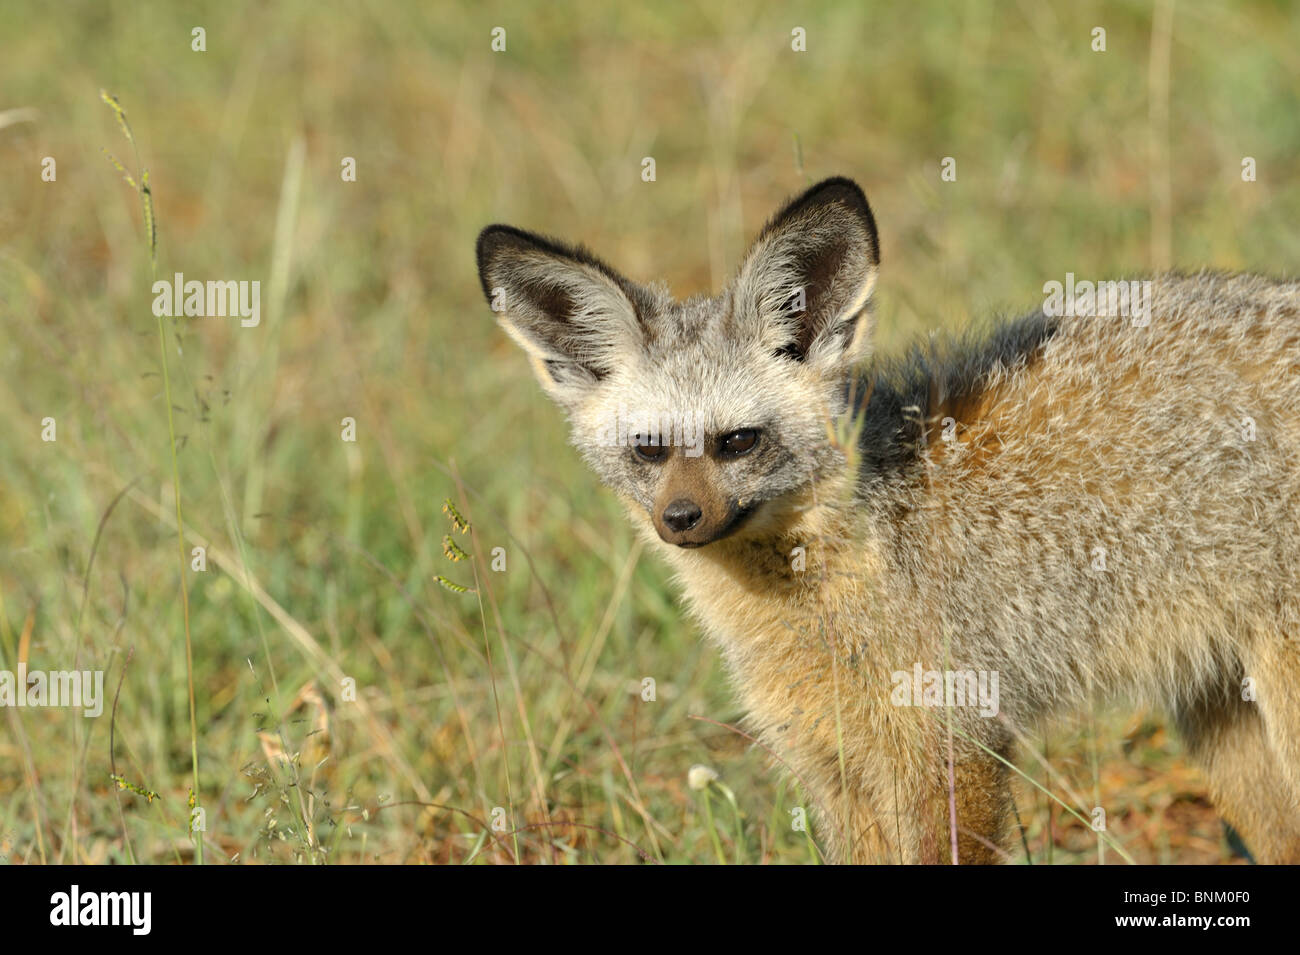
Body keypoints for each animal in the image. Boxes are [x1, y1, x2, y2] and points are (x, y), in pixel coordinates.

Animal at [475, 176, 1300, 864]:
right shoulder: (832, 760)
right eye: (648, 449)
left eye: (737, 441)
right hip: (1226, 724)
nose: (679, 518)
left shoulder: (952, 742)